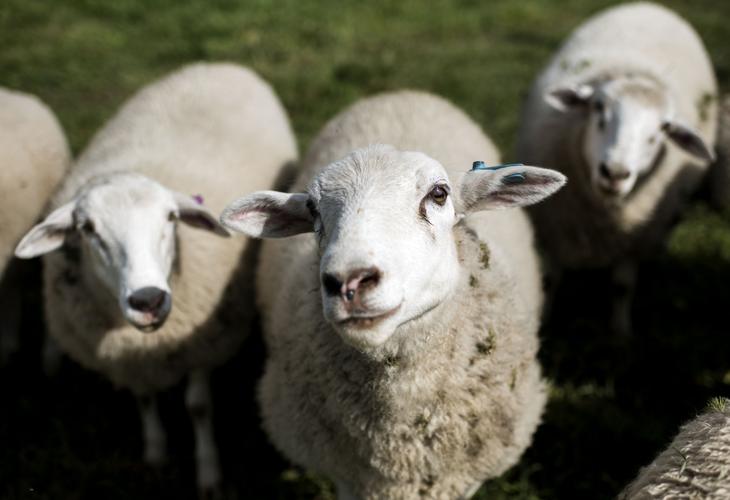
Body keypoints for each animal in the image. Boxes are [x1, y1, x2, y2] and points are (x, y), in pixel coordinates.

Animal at [14, 62, 298, 496]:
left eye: (170, 217)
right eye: (88, 228)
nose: (147, 300)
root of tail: (218, 64)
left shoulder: (202, 343)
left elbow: (198, 407)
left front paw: (208, 474)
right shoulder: (132, 358)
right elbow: (144, 397)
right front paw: (156, 453)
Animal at [516, 2, 718, 336]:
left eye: (664, 128)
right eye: (598, 107)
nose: (615, 173)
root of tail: (650, 6)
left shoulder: (636, 238)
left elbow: (622, 286)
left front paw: (620, 333)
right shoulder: (553, 228)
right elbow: (549, 281)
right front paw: (541, 325)